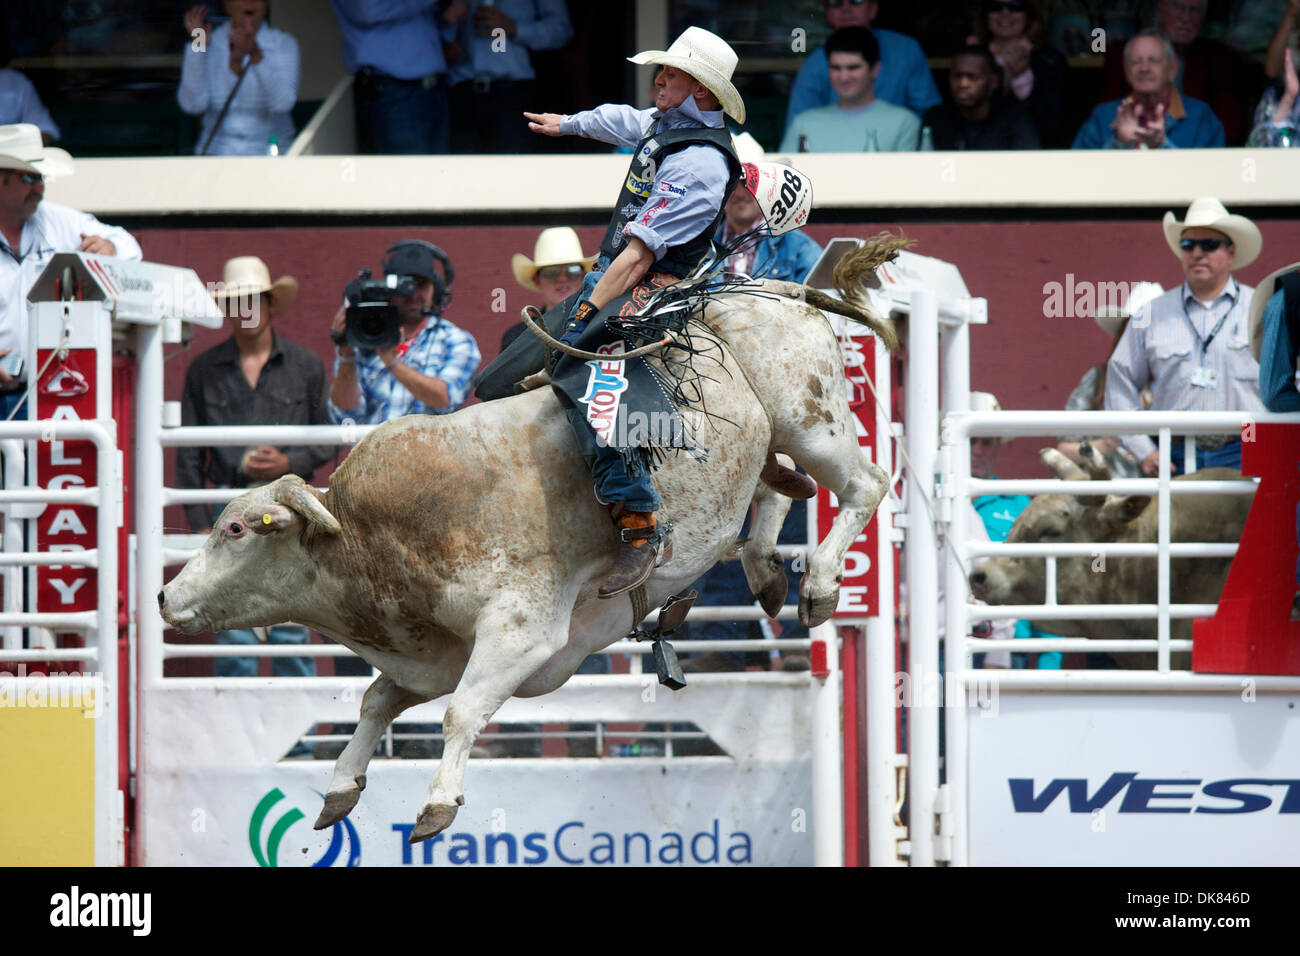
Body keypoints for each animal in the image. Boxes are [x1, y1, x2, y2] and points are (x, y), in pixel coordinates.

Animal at [159, 239, 903, 842]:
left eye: (234, 528)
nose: (165, 597)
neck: (378, 540)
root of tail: (773, 290)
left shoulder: (521, 633)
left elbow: (458, 715)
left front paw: (437, 805)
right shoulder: (434, 653)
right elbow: (376, 702)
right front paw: (341, 787)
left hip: (812, 418)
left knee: (866, 483)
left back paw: (821, 584)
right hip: (775, 440)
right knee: (781, 489)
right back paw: (766, 571)